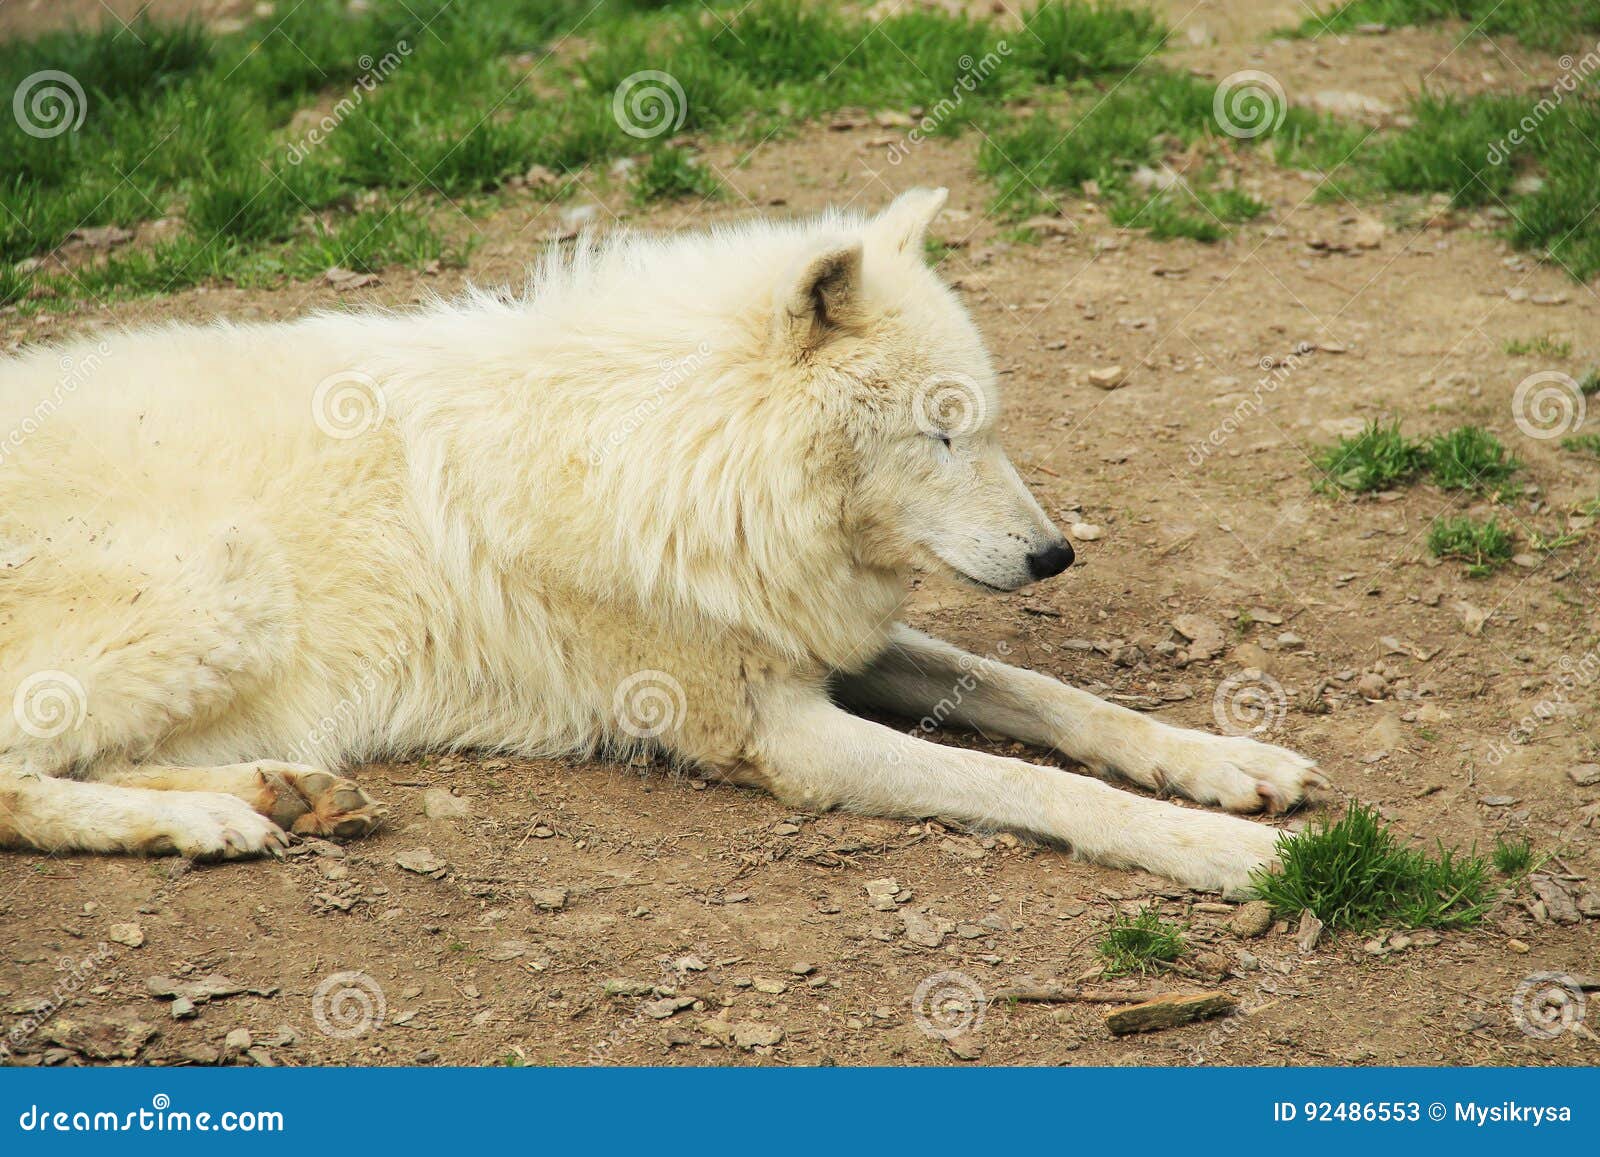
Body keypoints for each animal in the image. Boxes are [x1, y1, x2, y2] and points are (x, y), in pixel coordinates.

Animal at [0, 188, 1324, 893]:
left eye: (985, 422)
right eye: (940, 432)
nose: (1056, 558)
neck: (688, 449)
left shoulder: (812, 635)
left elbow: (1047, 695)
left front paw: (1226, 764)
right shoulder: (778, 730)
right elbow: (1022, 778)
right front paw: (1223, 849)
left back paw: (289, 794)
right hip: (219, 583)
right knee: (23, 779)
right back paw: (212, 822)